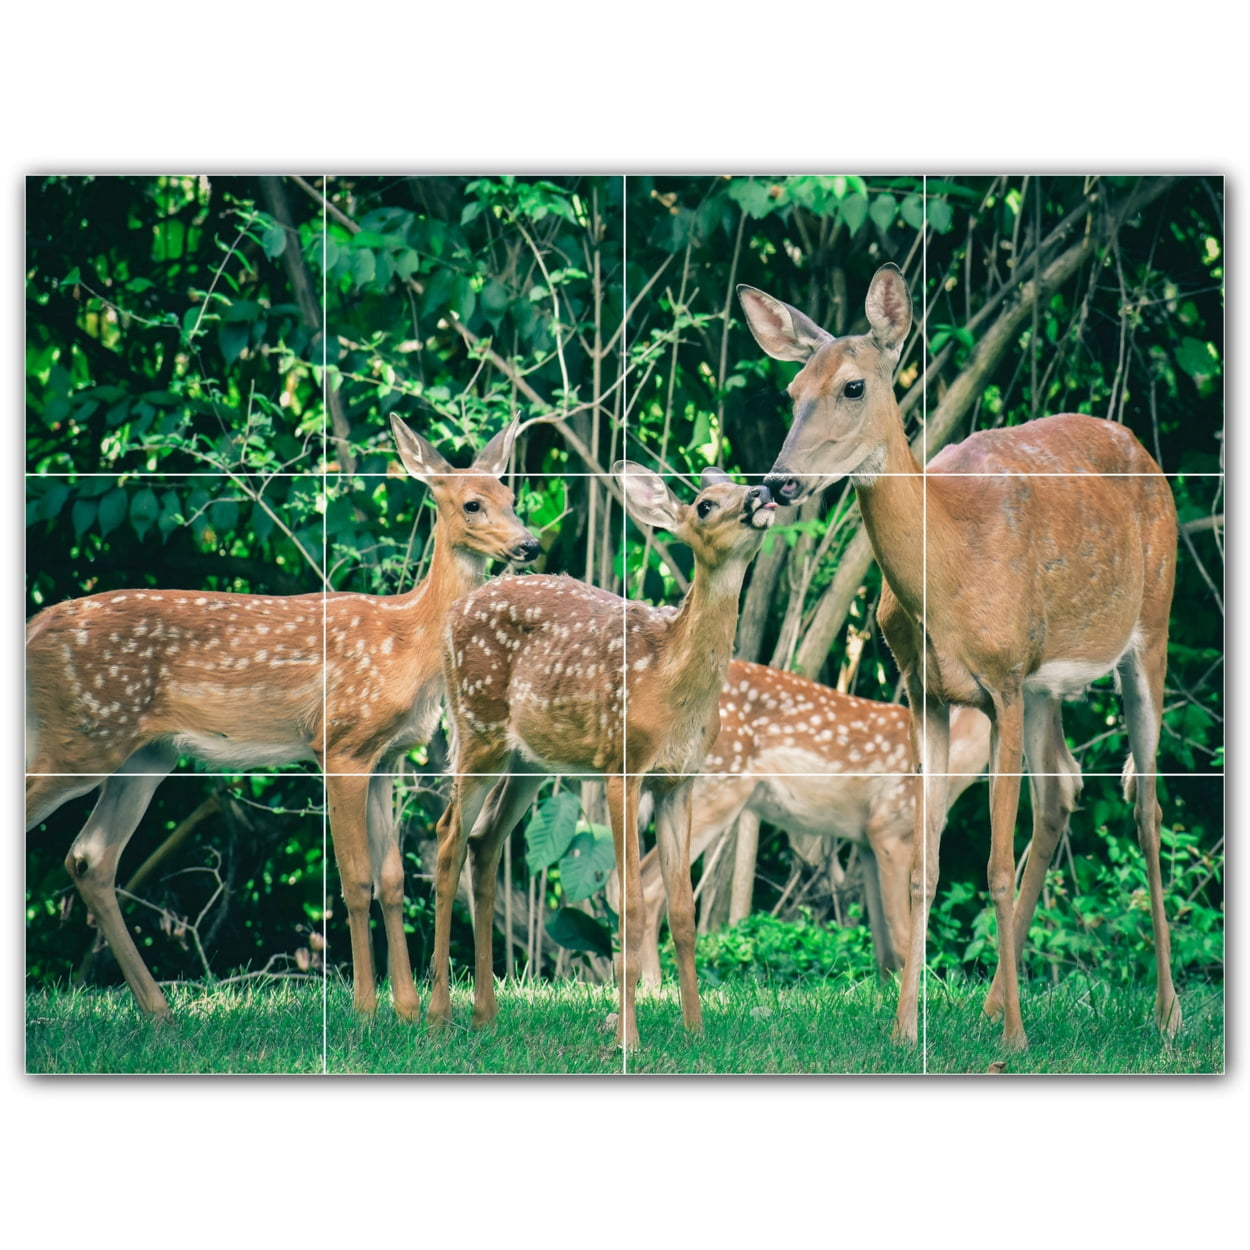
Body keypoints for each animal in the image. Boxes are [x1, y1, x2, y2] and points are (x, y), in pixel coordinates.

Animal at [25, 415, 541, 1024]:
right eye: (472, 504)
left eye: (513, 497)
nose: (529, 544)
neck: (408, 643)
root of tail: (33, 627)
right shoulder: (339, 743)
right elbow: (356, 879)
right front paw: (366, 1012)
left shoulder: (385, 756)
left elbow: (392, 880)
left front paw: (408, 1011)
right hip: (83, 736)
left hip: (146, 752)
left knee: (91, 858)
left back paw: (160, 1012)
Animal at [431, 463, 776, 1048]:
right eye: (706, 504)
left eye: (736, 481)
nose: (763, 491)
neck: (669, 683)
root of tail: (451, 615)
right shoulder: (622, 765)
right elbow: (631, 902)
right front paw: (628, 1039)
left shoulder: (680, 779)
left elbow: (683, 911)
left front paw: (696, 1031)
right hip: (475, 729)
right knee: (448, 837)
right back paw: (435, 1016)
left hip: (529, 761)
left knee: (484, 840)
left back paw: (485, 1016)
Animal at [637, 660, 992, 986]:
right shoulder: (891, 828)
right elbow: (903, 937)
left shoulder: (865, 840)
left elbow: (882, 945)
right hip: (716, 788)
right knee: (649, 886)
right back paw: (655, 987)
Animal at [740, 264, 1180, 1050]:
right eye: (791, 391)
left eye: (853, 386)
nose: (779, 482)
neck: (945, 570)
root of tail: (1144, 451)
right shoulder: (928, 692)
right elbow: (926, 865)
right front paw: (905, 1030)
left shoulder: (1000, 682)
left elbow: (995, 865)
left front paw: (1016, 1041)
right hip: (1044, 684)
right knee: (1063, 791)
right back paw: (991, 1007)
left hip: (1148, 631)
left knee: (1146, 802)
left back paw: (1165, 1015)